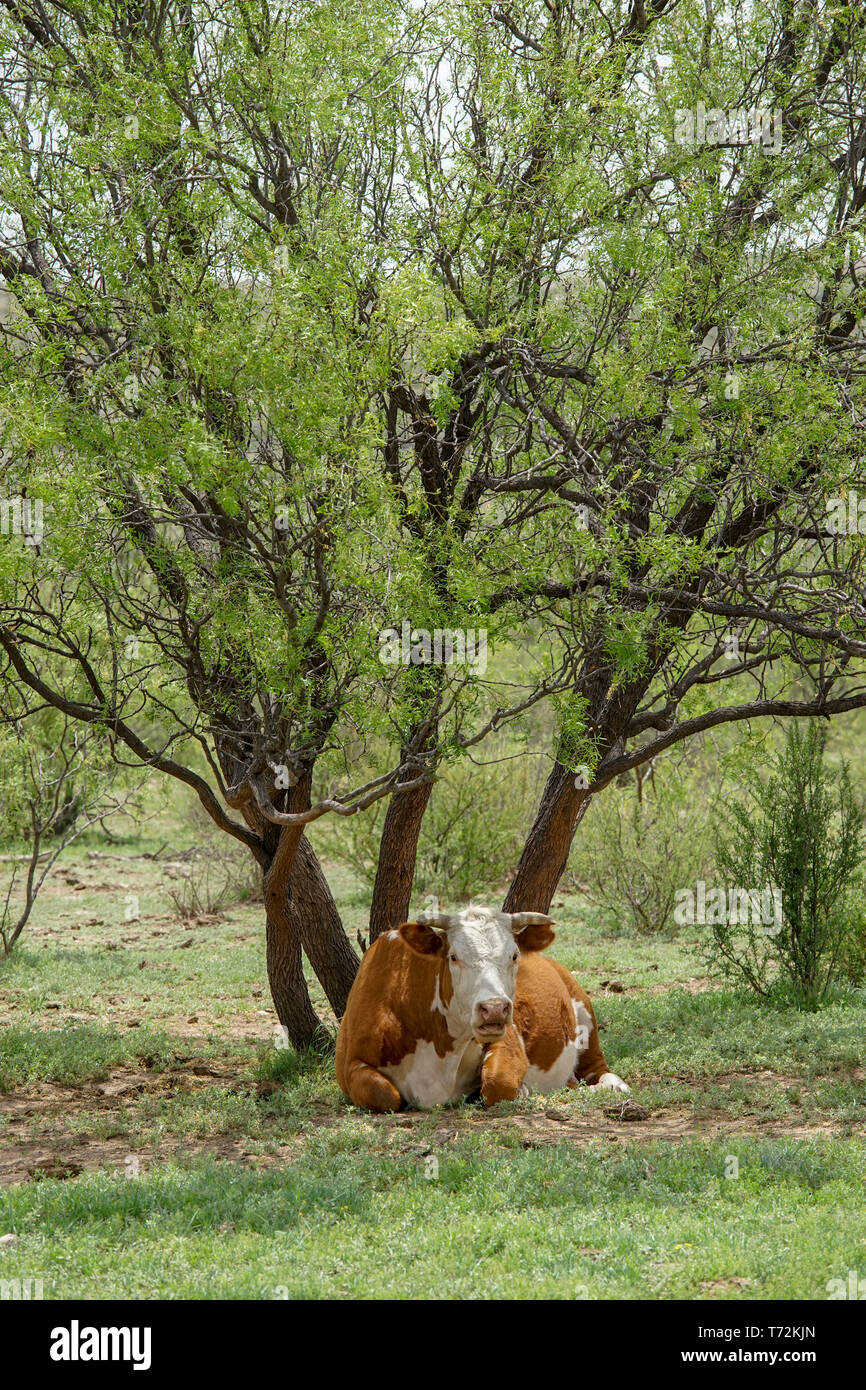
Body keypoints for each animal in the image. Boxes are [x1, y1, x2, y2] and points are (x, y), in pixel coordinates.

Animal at [336, 905, 629, 1111]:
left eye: (514, 955)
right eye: (454, 956)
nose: (495, 1008)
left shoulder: (507, 1038)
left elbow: (498, 1083)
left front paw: (521, 1089)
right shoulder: (350, 1065)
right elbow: (384, 1094)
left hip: (585, 1017)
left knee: (599, 1069)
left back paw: (612, 1087)